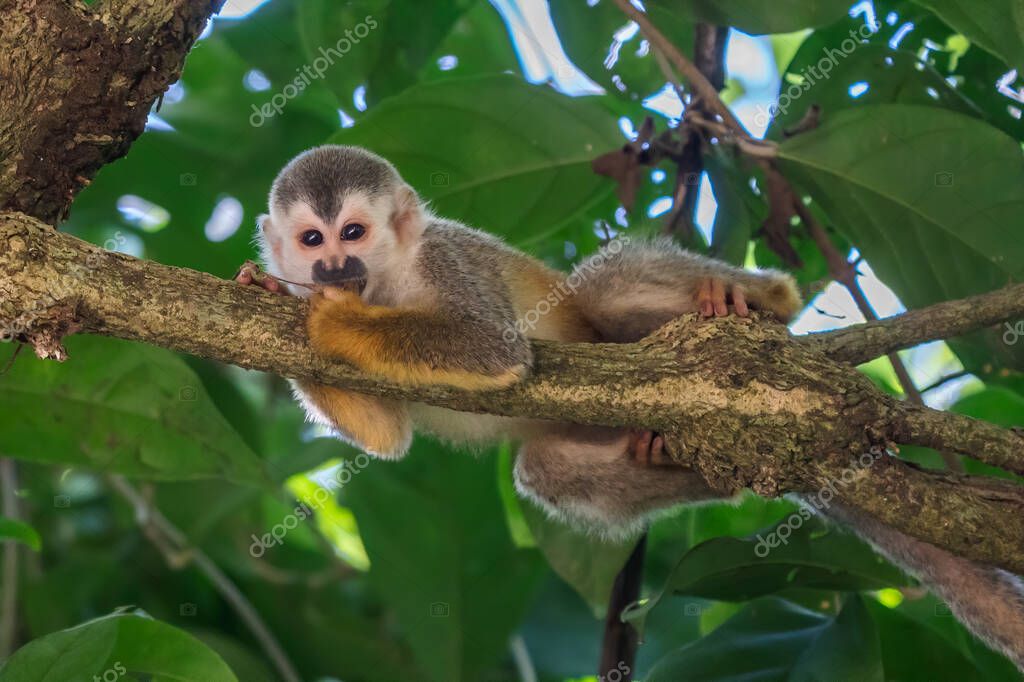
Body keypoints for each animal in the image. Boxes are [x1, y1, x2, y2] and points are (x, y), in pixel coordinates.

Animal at [237, 145, 1024, 670]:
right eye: (312, 239)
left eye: (354, 233)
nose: (333, 268)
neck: (387, 284)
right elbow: (386, 436)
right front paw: (274, 290)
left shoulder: (446, 261)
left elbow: (491, 349)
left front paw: (331, 318)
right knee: (543, 469)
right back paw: (682, 457)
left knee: (606, 290)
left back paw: (756, 298)